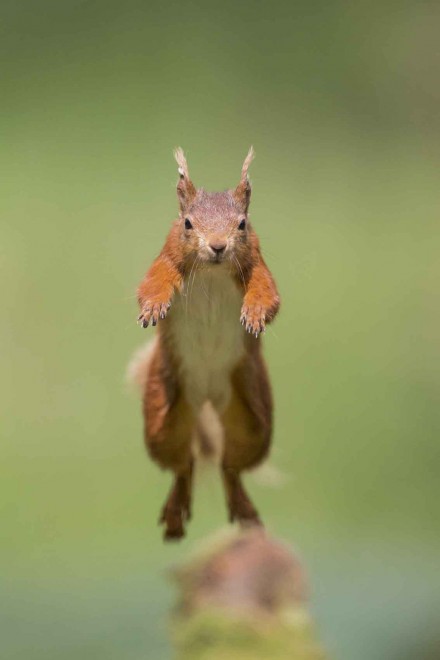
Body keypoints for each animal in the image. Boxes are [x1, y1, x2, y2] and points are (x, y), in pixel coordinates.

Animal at [132, 147, 280, 540]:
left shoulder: (257, 262)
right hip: (163, 415)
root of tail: (207, 397)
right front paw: (153, 306)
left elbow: (267, 293)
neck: (212, 272)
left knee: (230, 465)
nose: (217, 246)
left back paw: (243, 510)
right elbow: (154, 282)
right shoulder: (167, 256)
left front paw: (255, 314)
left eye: (242, 224)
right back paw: (175, 513)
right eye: (187, 223)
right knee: (183, 464)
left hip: (252, 416)